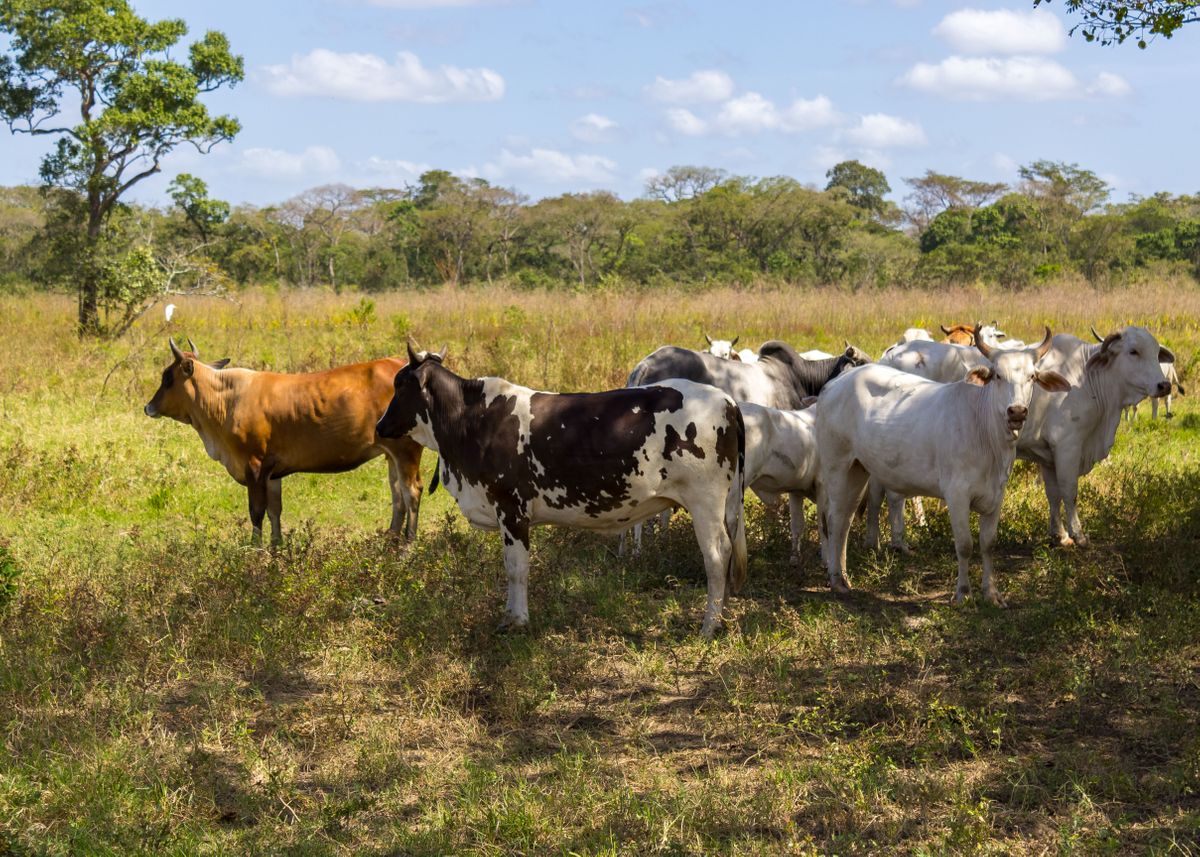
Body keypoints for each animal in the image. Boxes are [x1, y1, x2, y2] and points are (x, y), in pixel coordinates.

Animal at [144, 338, 424, 545]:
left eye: (167, 378)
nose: (148, 407)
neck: (227, 398)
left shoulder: (254, 465)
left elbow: (256, 512)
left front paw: (255, 551)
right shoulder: (272, 471)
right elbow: (274, 510)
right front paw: (276, 548)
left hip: (406, 451)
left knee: (411, 493)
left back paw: (407, 547)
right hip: (392, 454)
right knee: (398, 497)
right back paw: (390, 542)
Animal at [376, 344, 747, 638]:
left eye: (400, 385)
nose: (379, 426)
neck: (471, 422)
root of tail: (726, 400)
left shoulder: (511, 508)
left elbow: (516, 567)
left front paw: (517, 620)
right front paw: (509, 615)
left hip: (705, 501)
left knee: (717, 556)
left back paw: (709, 625)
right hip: (727, 502)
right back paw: (724, 614)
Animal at [816, 326, 1069, 605]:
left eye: (1032, 376)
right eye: (998, 376)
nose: (1017, 411)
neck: (988, 436)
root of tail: (834, 385)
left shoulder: (996, 495)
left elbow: (988, 543)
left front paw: (991, 593)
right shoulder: (956, 494)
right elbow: (965, 545)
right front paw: (962, 593)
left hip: (858, 469)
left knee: (846, 520)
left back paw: (843, 576)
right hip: (837, 465)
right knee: (834, 519)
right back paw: (835, 579)